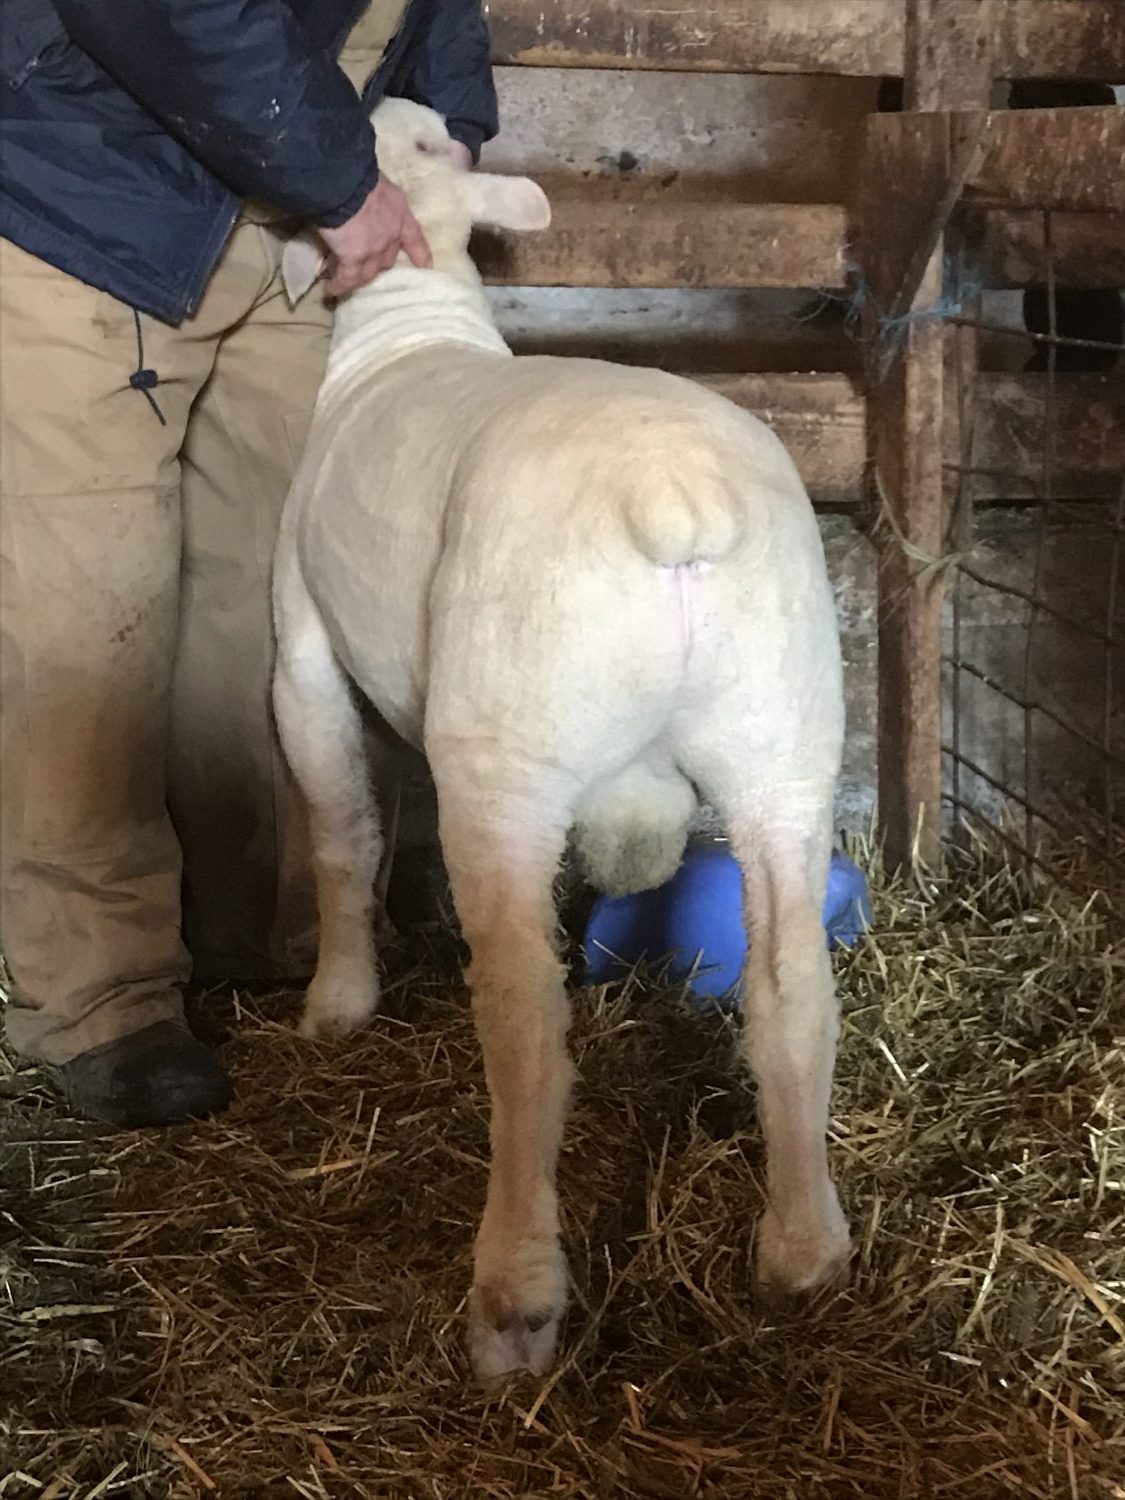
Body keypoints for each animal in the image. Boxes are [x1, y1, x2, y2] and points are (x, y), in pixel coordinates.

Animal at [273, 96, 851, 1382]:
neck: (410, 319)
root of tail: (675, 495)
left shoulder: (299, 649)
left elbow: (340, 830)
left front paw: (339, 999)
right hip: (784, 731)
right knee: (792, 986)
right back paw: (804, 1247)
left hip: (505, 753)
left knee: (527, 1021)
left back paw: (515, 1298)